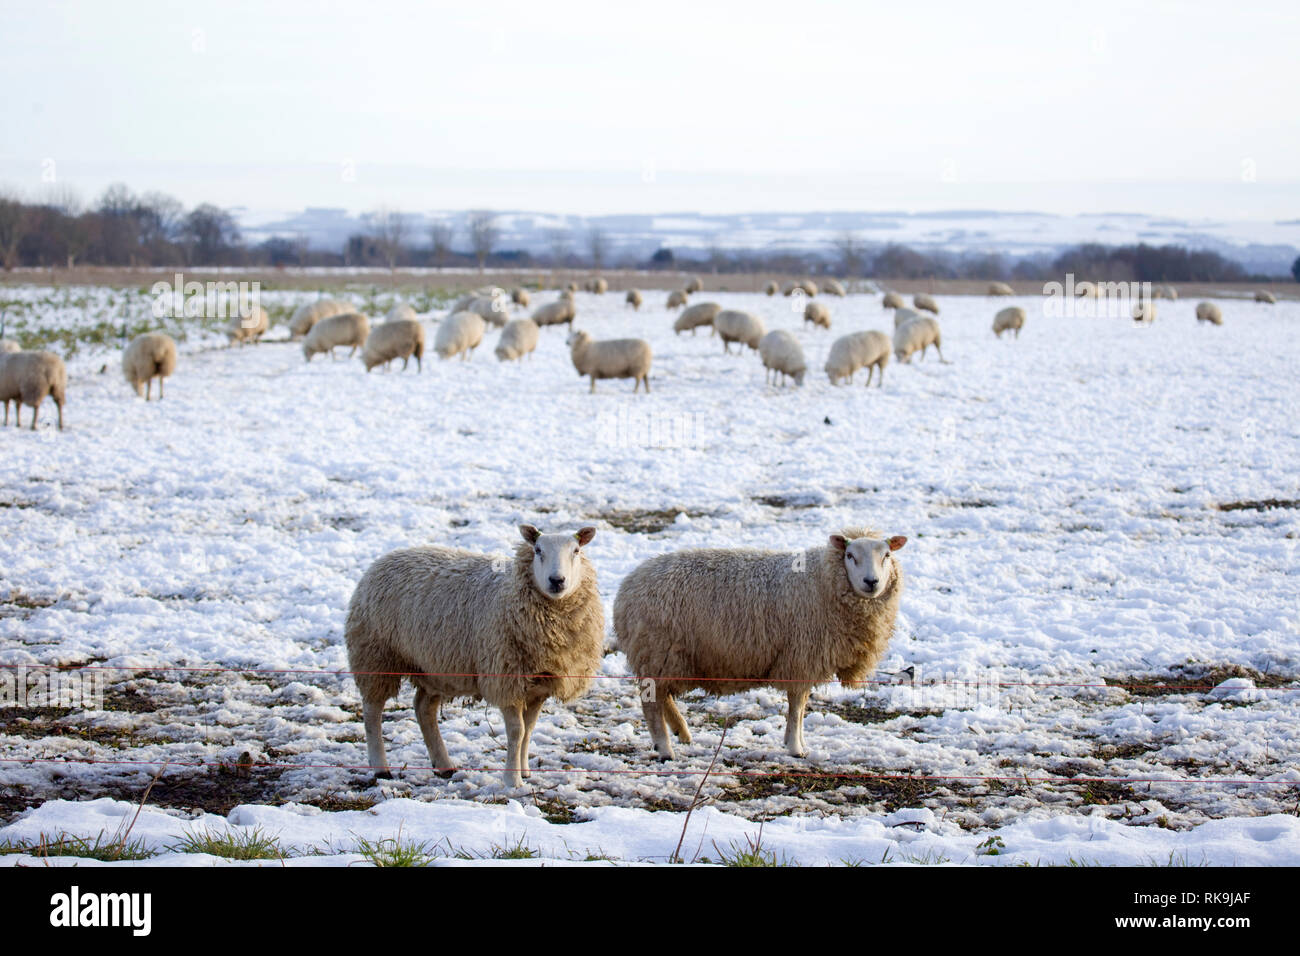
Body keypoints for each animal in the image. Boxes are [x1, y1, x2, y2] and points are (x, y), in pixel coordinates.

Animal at [345, 524, 605, 788]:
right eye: (538, 550)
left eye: (576, 550)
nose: (557, 580)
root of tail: (384, 559)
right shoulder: (505, 680)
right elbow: (517, 731)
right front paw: (512, 780)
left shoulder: (538, 686)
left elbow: (529, 729)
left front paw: (524, 771)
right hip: (376, 655)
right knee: (372, 711)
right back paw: (381, 768)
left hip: (434, 666)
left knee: (423, 709)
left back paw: (444, 765)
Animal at [613, 528, 908, 760]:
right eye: (850, 556)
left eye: (886, 555)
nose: (871, 582)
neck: (822, 581)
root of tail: (626, 589)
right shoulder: (801, 657)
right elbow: (797, 706)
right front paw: (795, 748)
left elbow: (800, 706)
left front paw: (798, 743)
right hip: (659, 650)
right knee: (652, 704)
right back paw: (665, 749)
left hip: (664, 656)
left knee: (662, 698)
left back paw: (681, 732)